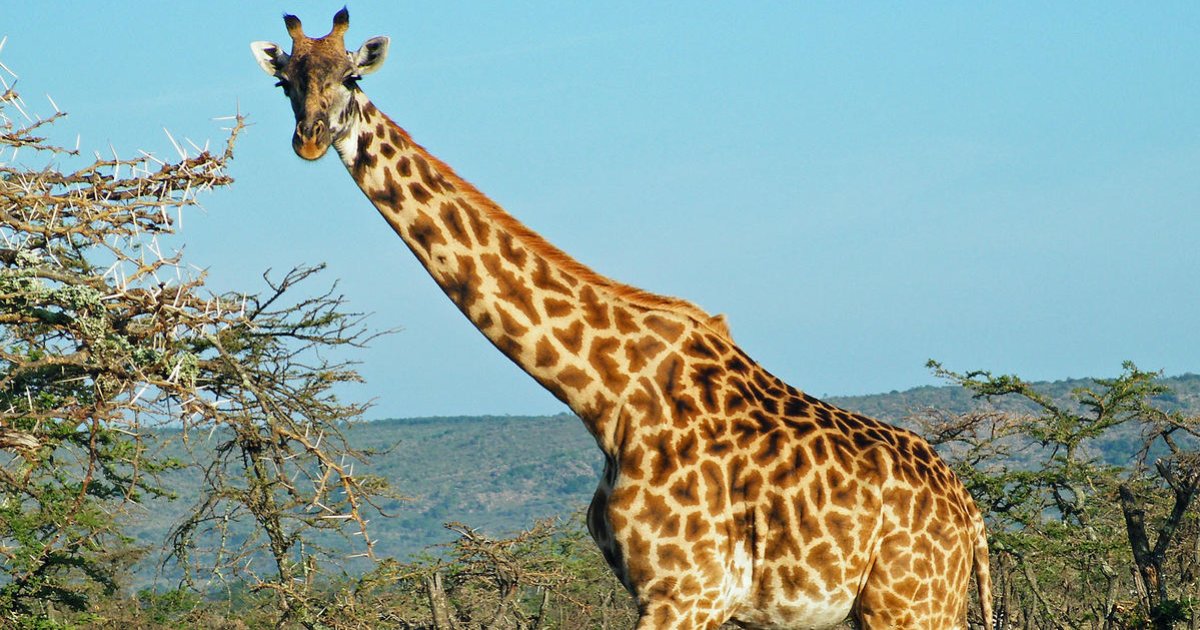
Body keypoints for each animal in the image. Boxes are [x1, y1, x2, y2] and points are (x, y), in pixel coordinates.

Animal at [251, 10, 993, 629]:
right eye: (286, 83)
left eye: (351, 76)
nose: (310, 139)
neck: (603, 391)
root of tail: (971, 516)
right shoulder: (679, 596)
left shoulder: (686, 591)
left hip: (908, 602)